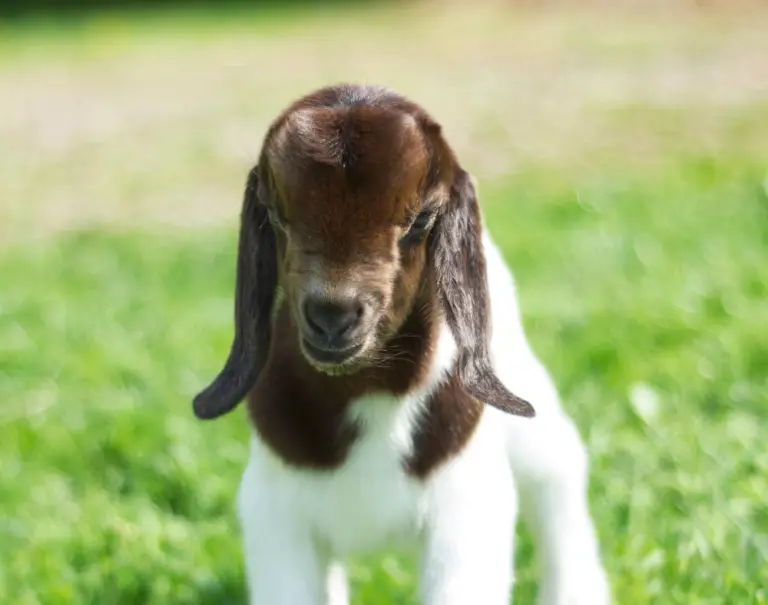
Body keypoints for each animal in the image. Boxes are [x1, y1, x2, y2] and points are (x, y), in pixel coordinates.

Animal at [192, 83, 610, 605]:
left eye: (422, 220)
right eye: (275, 215)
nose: (333, 317)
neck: (369, 390)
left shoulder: (467, 510)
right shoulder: (277, 516)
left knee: (558, 471)